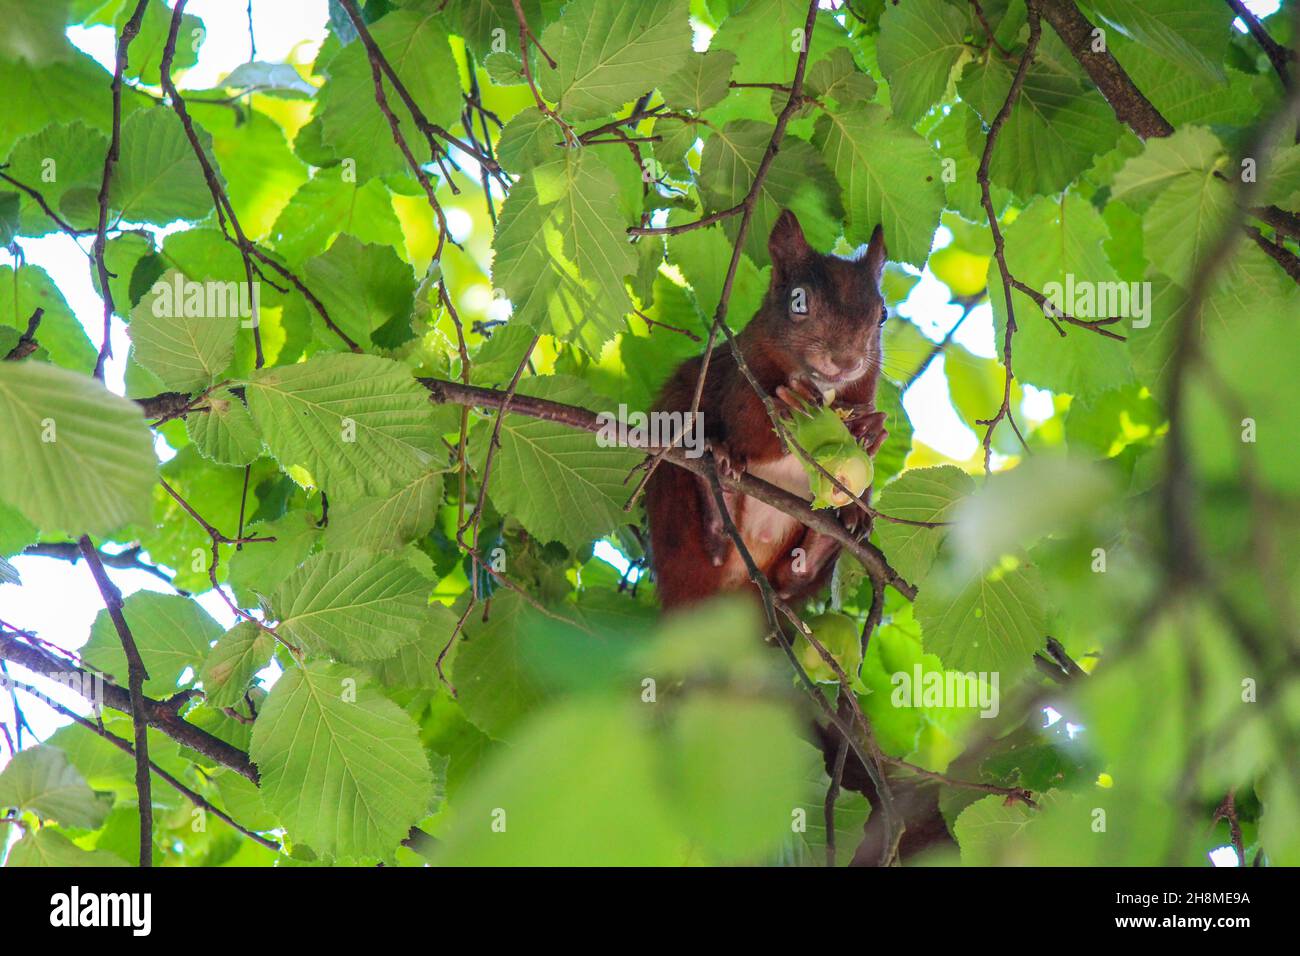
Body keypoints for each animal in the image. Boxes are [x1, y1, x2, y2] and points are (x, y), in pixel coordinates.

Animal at [645, 209, 889, 610]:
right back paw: (719, 486)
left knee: (792, 579)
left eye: (882, 314)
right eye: (798, 302)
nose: (846, 361)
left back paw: (835, 530)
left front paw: (869, 431)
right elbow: (748, 431)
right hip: (674, 498)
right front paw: (789, 409)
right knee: (711, 547)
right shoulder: (737, 381)